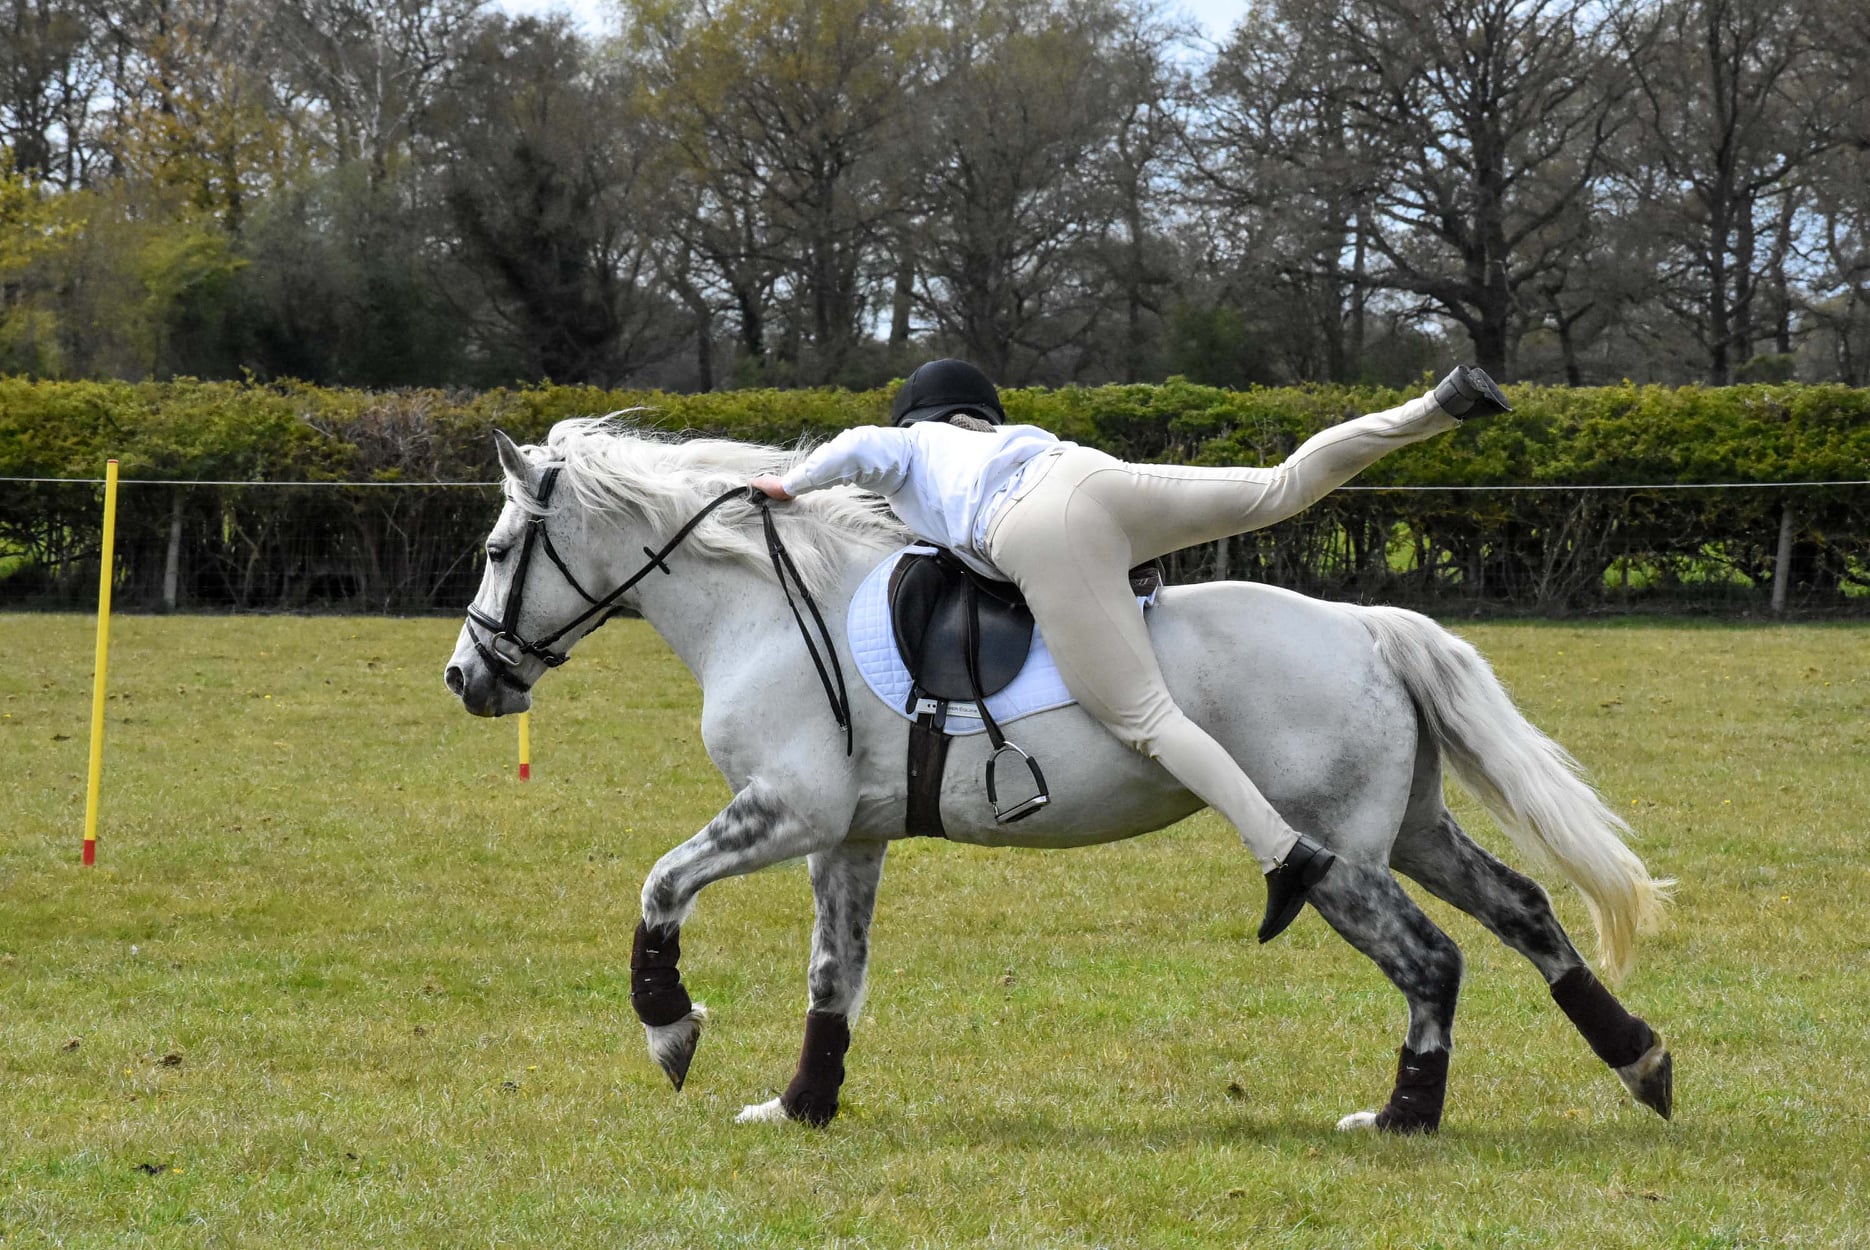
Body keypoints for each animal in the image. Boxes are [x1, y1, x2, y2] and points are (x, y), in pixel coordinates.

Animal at [442, 418, 1674, 1134]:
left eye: (499, 552)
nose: (466, 678)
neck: (765, 603)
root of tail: (1367, 626)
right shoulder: (847, 833)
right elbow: (835, 974)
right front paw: (802, 1103)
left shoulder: (787, 811)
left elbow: (660, 883)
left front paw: (670, 1028)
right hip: (1410, 830)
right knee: (1524, 908)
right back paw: (1641, 1060)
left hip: (1347, 852)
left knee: (1430, 956)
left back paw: (1405, 1116)